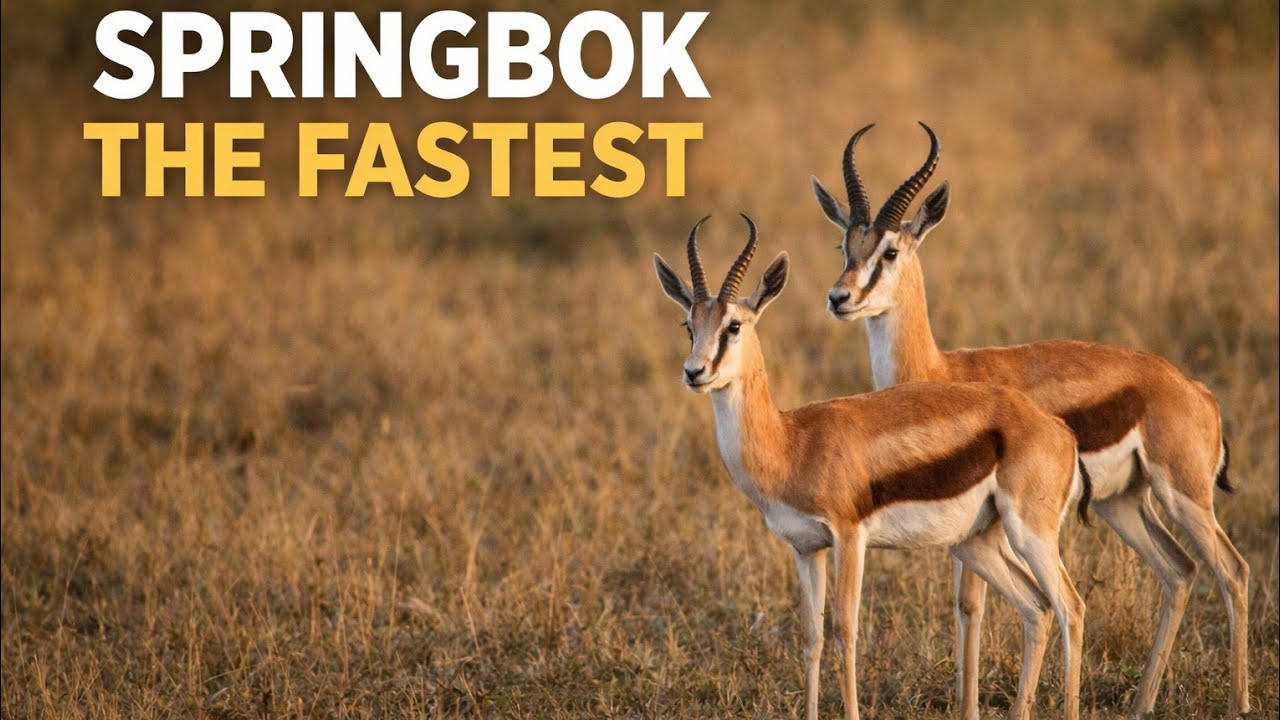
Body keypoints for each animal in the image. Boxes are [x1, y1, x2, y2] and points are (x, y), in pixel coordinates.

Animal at [654, 215, 1089, 720]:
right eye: (689, 325)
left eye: (734, 325)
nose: (694, 372)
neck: (792, 441)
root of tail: (1057, 429)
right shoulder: (806, 549)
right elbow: (812, 635)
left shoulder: (849, 537)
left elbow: (845, 629)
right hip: (976, 543)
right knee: (1036, 608)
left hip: (1030, 532)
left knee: (1070, 607)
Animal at [812, 122, 1251, 718]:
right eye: (845, 246)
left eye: (891, 251)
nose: (839, 297)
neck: (939, 369)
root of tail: (1195, 390)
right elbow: (965, 606)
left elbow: (972, 605)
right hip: (1123, 502)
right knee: (1179, 570)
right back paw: (1141, 704)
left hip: (1183, 494)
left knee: (1232, 570)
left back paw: (1238, 703)